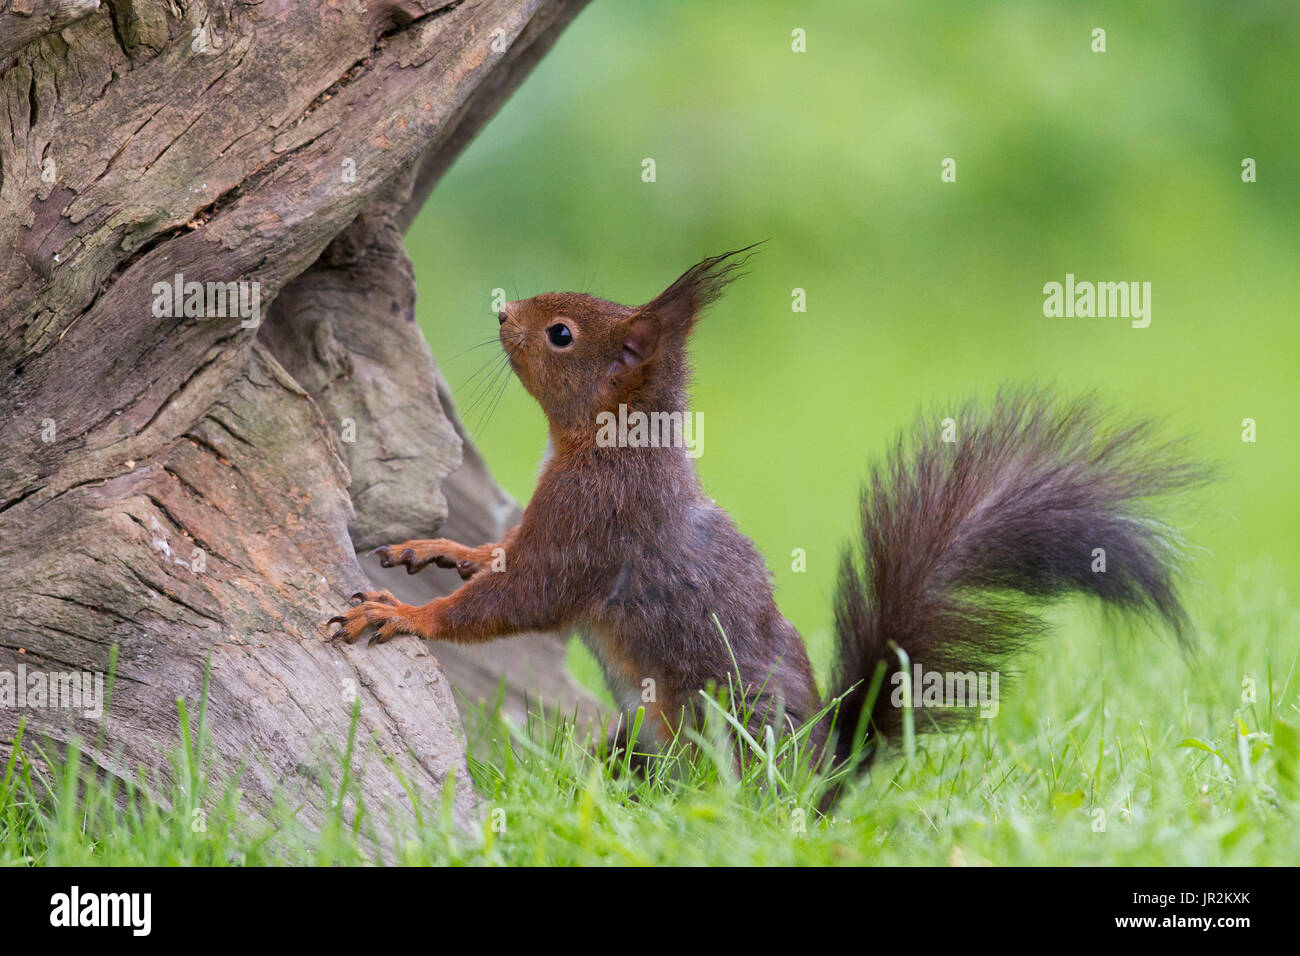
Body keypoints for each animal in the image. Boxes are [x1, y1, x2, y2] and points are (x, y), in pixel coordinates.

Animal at [327, 247, 1203, 774]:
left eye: (562, 334)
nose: (502, 315)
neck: (611, 444)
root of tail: (824, 776)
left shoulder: (596, 521)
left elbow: (526, 595)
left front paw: (406, 615)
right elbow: (500, 559)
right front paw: (442, 550)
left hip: (719, 723)